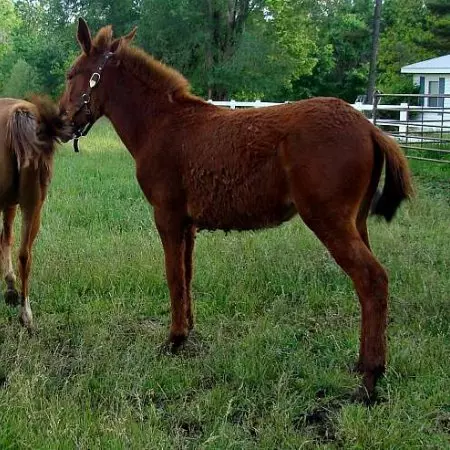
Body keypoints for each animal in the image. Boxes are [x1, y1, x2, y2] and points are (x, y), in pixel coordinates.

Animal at [0, 96, 71, 330]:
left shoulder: (9, 204)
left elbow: (5, 239)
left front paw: (9, 287)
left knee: (21, 252)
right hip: (34, 204)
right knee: (25, 255)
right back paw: (26, 314)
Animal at [60, 18, 414, 398]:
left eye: (71, 74)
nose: (61, 124)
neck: (162, 124)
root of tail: (370, 128)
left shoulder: (167, 216)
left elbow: (172, 276)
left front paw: (173, 340)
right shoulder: (188, 224)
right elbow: (186, 275)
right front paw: (187, 332)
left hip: (328, 220)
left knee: (372, 279)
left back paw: (371, 379)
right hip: (356, 221)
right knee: (369, 286)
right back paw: (363, 364)